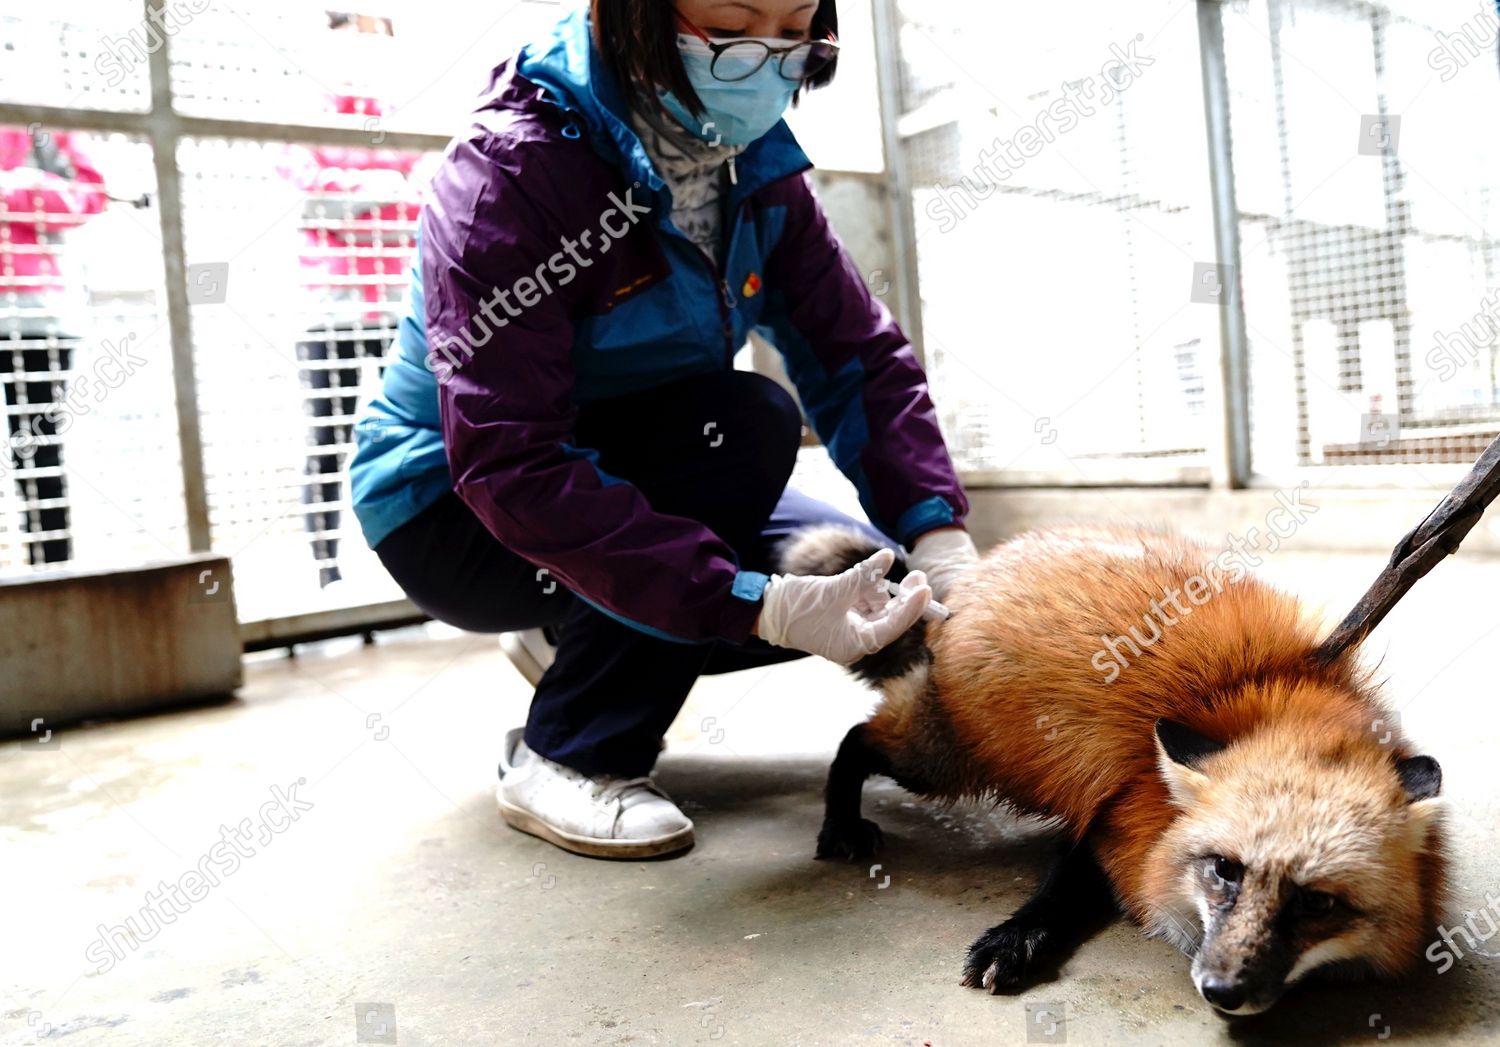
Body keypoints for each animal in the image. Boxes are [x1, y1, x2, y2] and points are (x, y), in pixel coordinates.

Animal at [777, 523, 1447, 1016]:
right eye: (1224, 870)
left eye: (1317, 904)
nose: (1223, 990)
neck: (1260, 698)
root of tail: (966, 585)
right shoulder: (1118, 815)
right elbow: (1058, 890)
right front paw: (1016, 940)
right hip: (942, 763)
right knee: (855, 740)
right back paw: (841, 821)